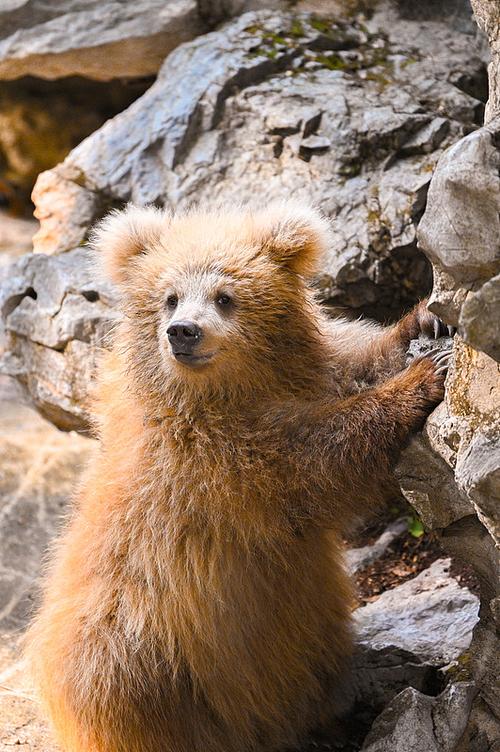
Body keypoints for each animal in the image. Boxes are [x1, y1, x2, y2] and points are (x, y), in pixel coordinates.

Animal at [25, 202, 451, 752]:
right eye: (169, 297)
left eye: (224, 296)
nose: (183, 331)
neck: (228, 390)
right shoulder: (217, 461)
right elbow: (317, 459)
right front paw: (421, 379)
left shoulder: (302, 371)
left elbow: (352, 361)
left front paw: (424, 321)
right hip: (137, 648)